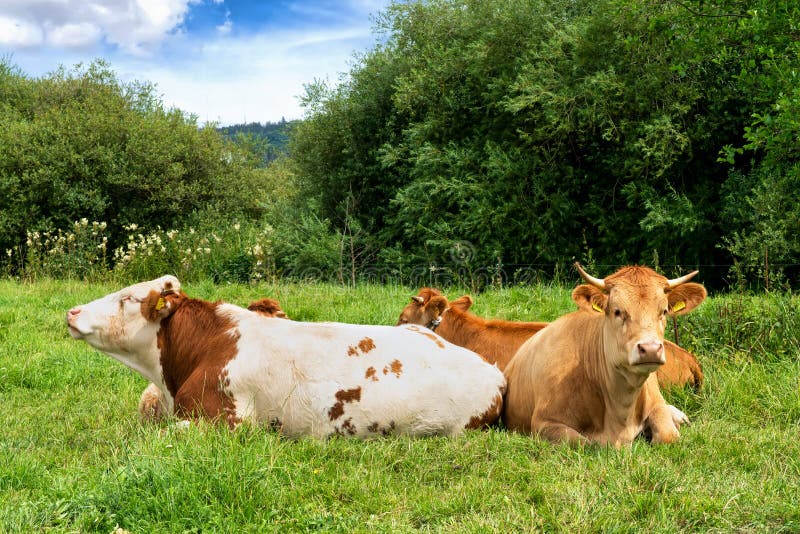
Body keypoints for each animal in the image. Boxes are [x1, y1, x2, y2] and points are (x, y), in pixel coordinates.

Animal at [502, 263, 706, 446]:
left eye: (663, 311)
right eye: (617, 311)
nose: (650, 349)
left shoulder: (656, 403)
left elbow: (667, 435)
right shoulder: (544, 422)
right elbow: (585, 443)